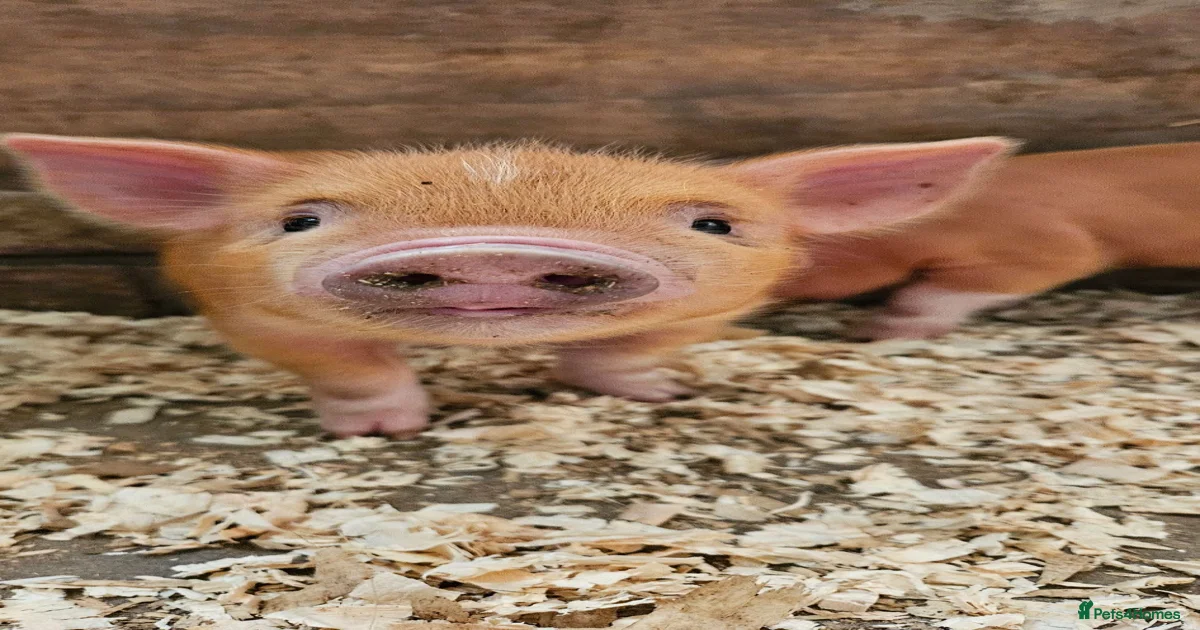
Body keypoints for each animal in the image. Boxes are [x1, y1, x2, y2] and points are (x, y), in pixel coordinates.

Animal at [2, 133, 1013, 436]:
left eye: (713, 224)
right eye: (298, 221)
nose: (495, 250)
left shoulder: (726, 302)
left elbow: (629, 355)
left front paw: (664, 393)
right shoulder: (241, 307)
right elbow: (349, 364)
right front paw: (385, 430)